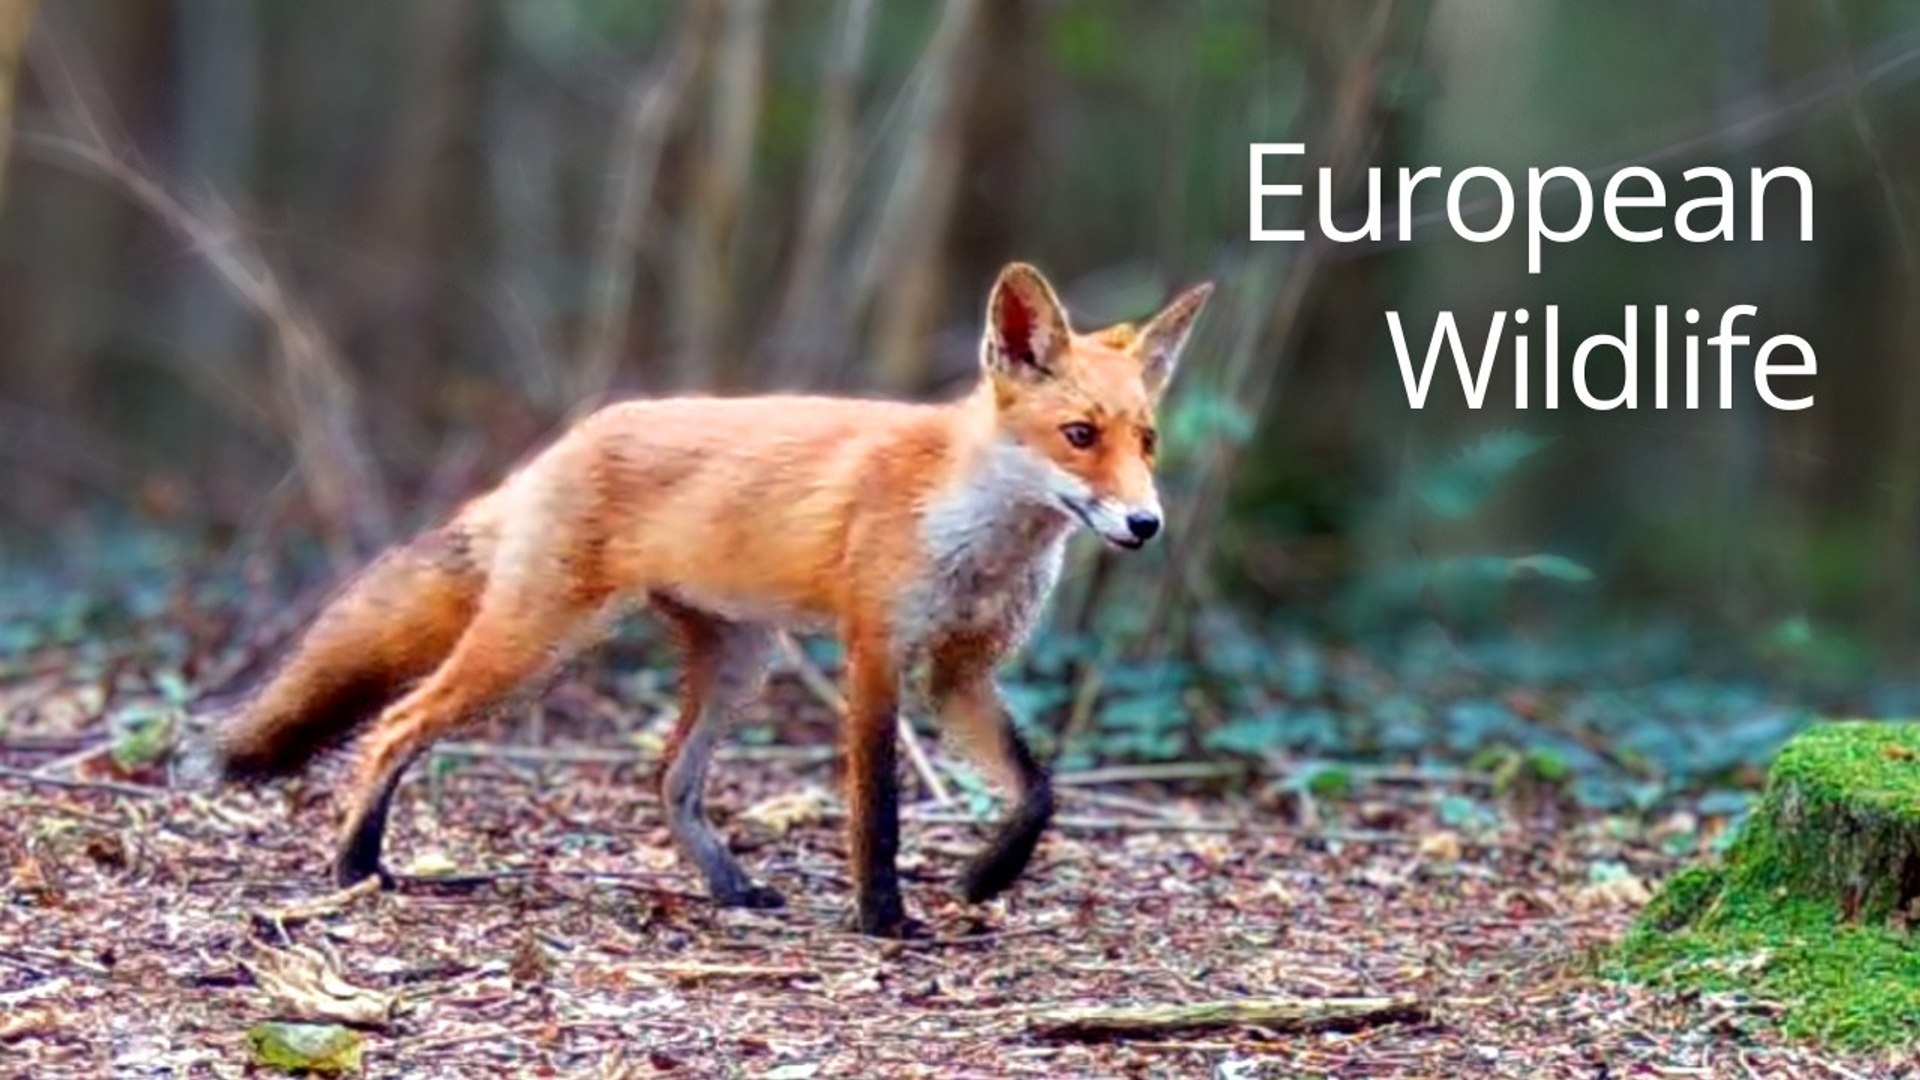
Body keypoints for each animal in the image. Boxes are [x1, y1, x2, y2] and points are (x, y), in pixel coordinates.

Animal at [213, 261, 1212, 937]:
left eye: (1148, 441)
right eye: (1079, 436)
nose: (1147, 523)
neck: (981, 533)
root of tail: (564, 442)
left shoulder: (958, 672)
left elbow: (1037, 790)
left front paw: (986, 881)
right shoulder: (876, 655)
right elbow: (878, 813)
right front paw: (884, 919)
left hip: (740, 661)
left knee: (670, 779)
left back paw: (730, 888)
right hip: (533, 648)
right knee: (395, 723)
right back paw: (355, 865)